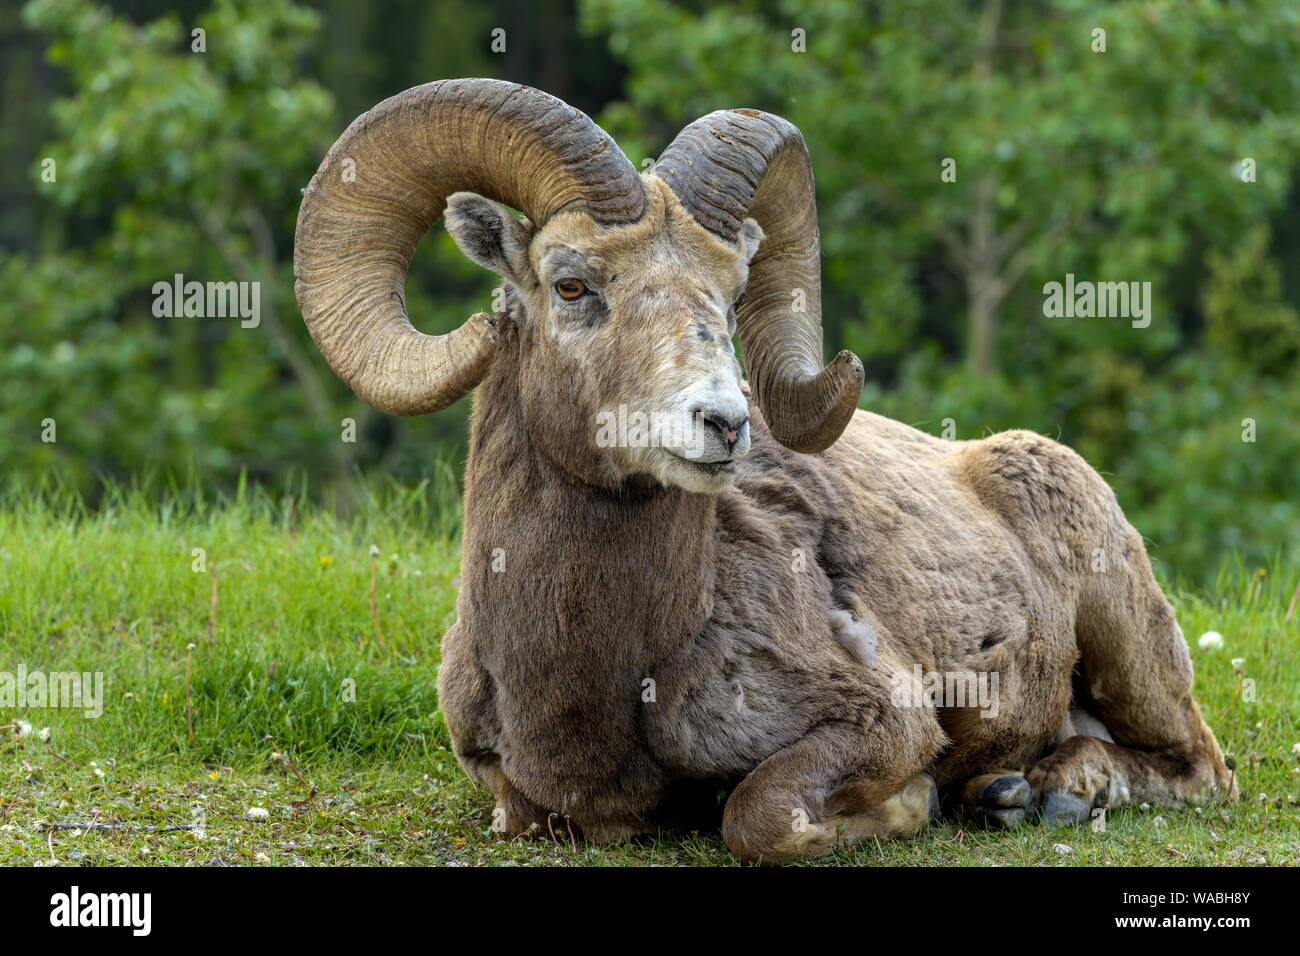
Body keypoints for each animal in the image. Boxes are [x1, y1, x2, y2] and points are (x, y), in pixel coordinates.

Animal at [293, 78, 1234, 863]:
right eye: (570, 285)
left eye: (732, 290)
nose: (726, 423)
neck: (614, 668)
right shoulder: (511, 793)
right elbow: (529, 811)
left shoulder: (879, 722)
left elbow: (757, 816)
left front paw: (910, 806)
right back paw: (1002, 792)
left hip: (1131, 653)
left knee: (1199, 770)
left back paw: (1051, 792)